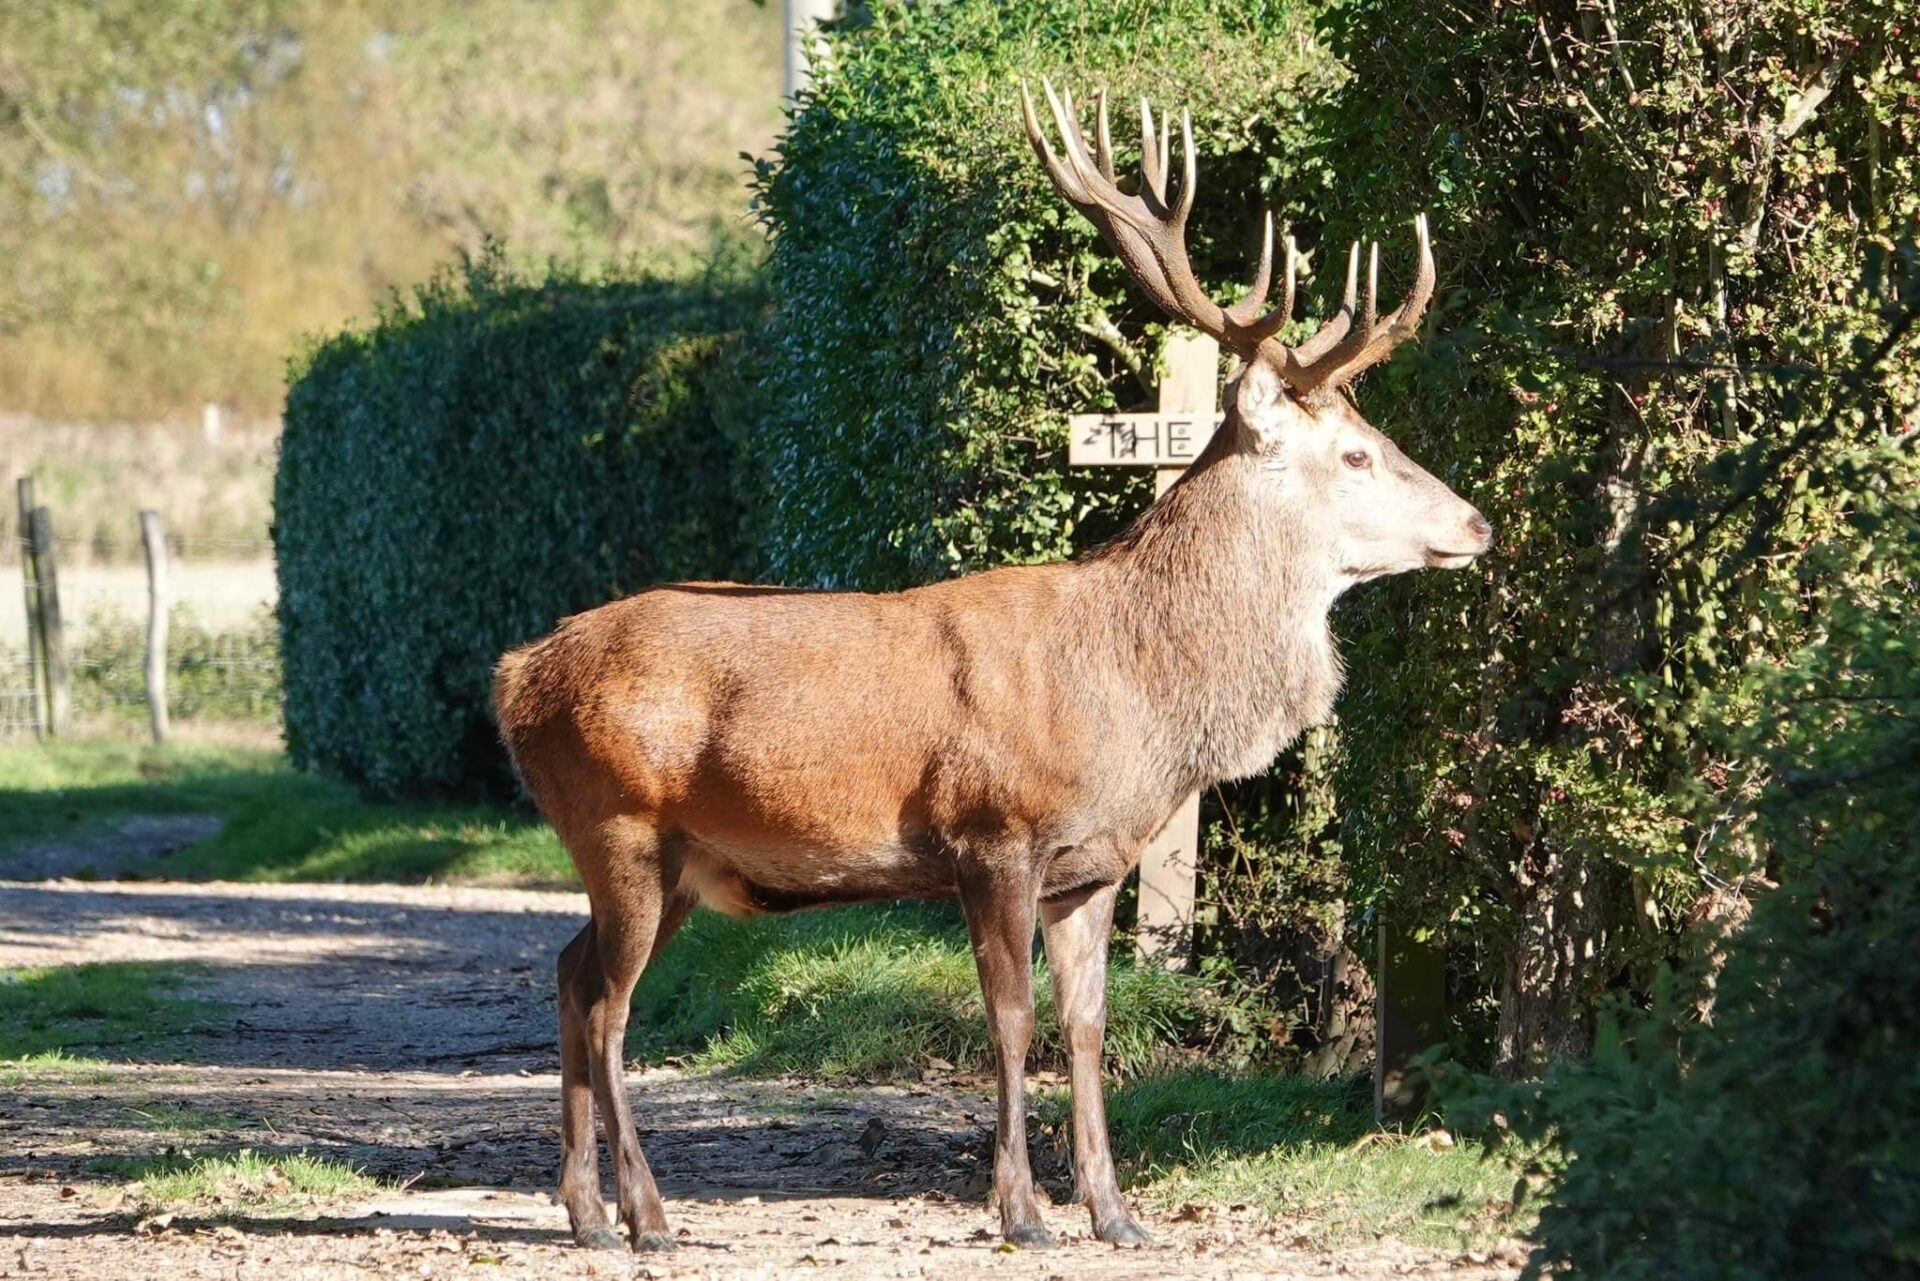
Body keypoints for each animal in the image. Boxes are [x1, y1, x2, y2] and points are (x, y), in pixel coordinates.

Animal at [491, 80, 1492, 1254]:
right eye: (1355, 452)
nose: (1475, 522)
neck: (1140, 699)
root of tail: (515, 676)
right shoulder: (993, 832)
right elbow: (1009, 1019)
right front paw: (1021, 1210)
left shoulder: (1094, 863)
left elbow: (1089, 1024)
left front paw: (1115, 1211)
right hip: (619, 823)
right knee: (607, 1003)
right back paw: (646, 1217)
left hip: (671, 857)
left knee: (569, 976)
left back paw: (584, 1212)